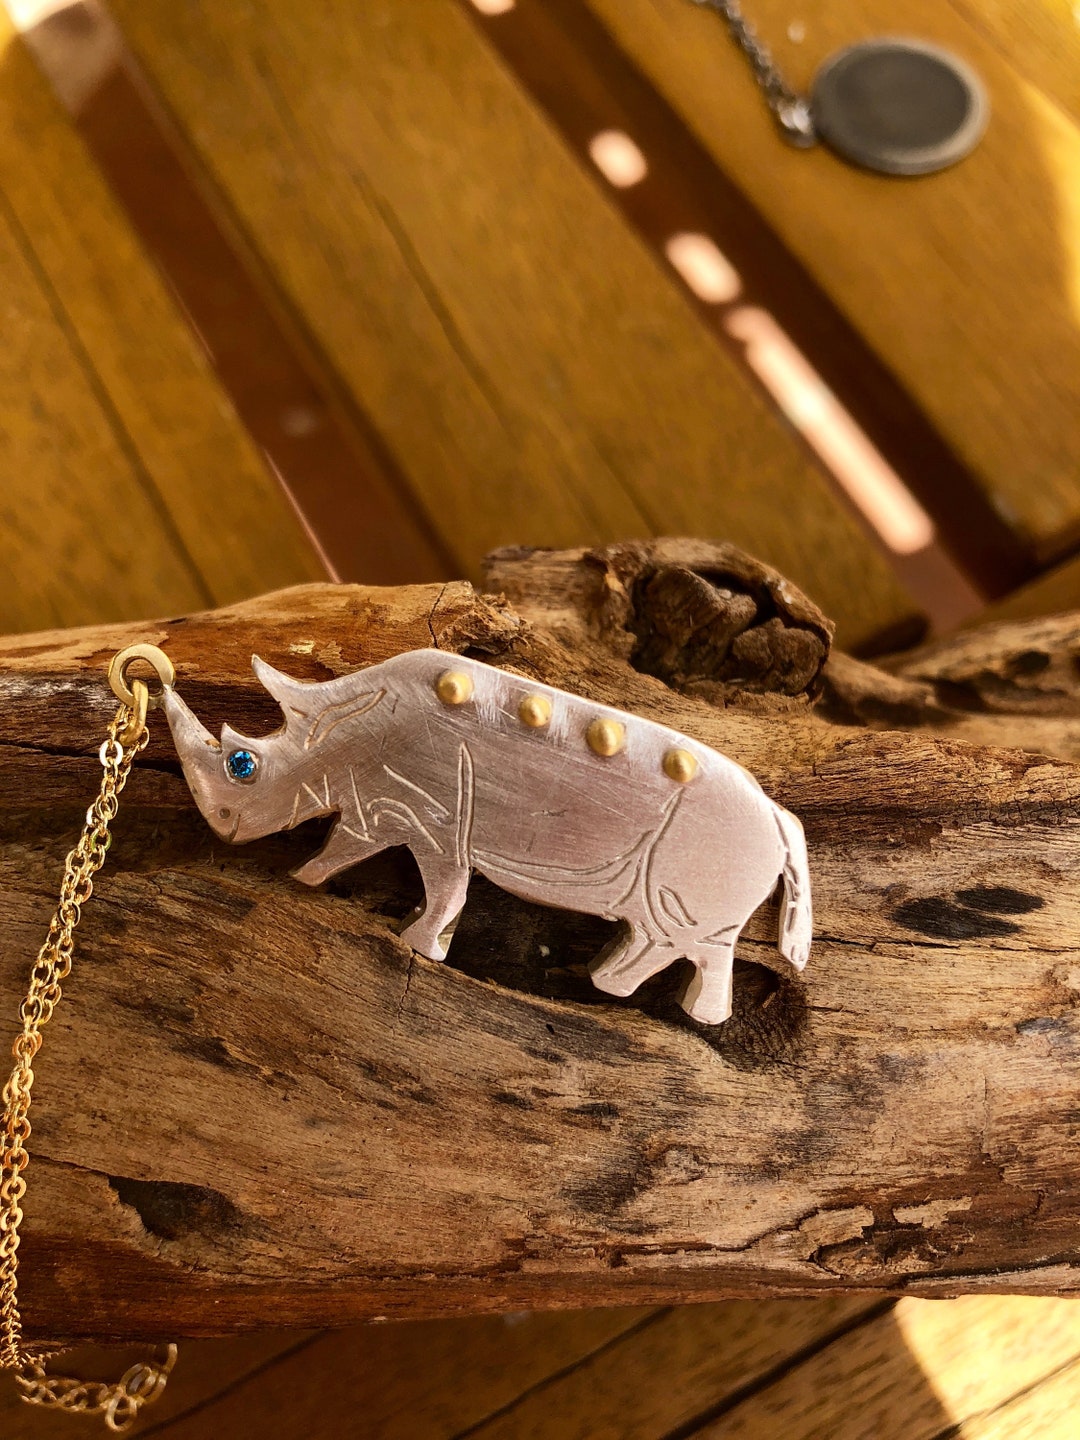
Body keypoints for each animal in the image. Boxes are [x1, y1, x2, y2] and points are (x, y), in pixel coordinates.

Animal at [163, 649, 811, 1024]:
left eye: (242, 765)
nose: (222, 825)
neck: (343, 728)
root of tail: (782, 821)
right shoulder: (387, 803)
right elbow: (350, 841)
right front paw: (305, 877)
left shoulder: (439, 816)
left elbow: (446, 884)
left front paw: (418, 945)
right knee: (667, 931)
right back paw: (616, 985)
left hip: (717, 849)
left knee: (687, 933)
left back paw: (651, 1003)